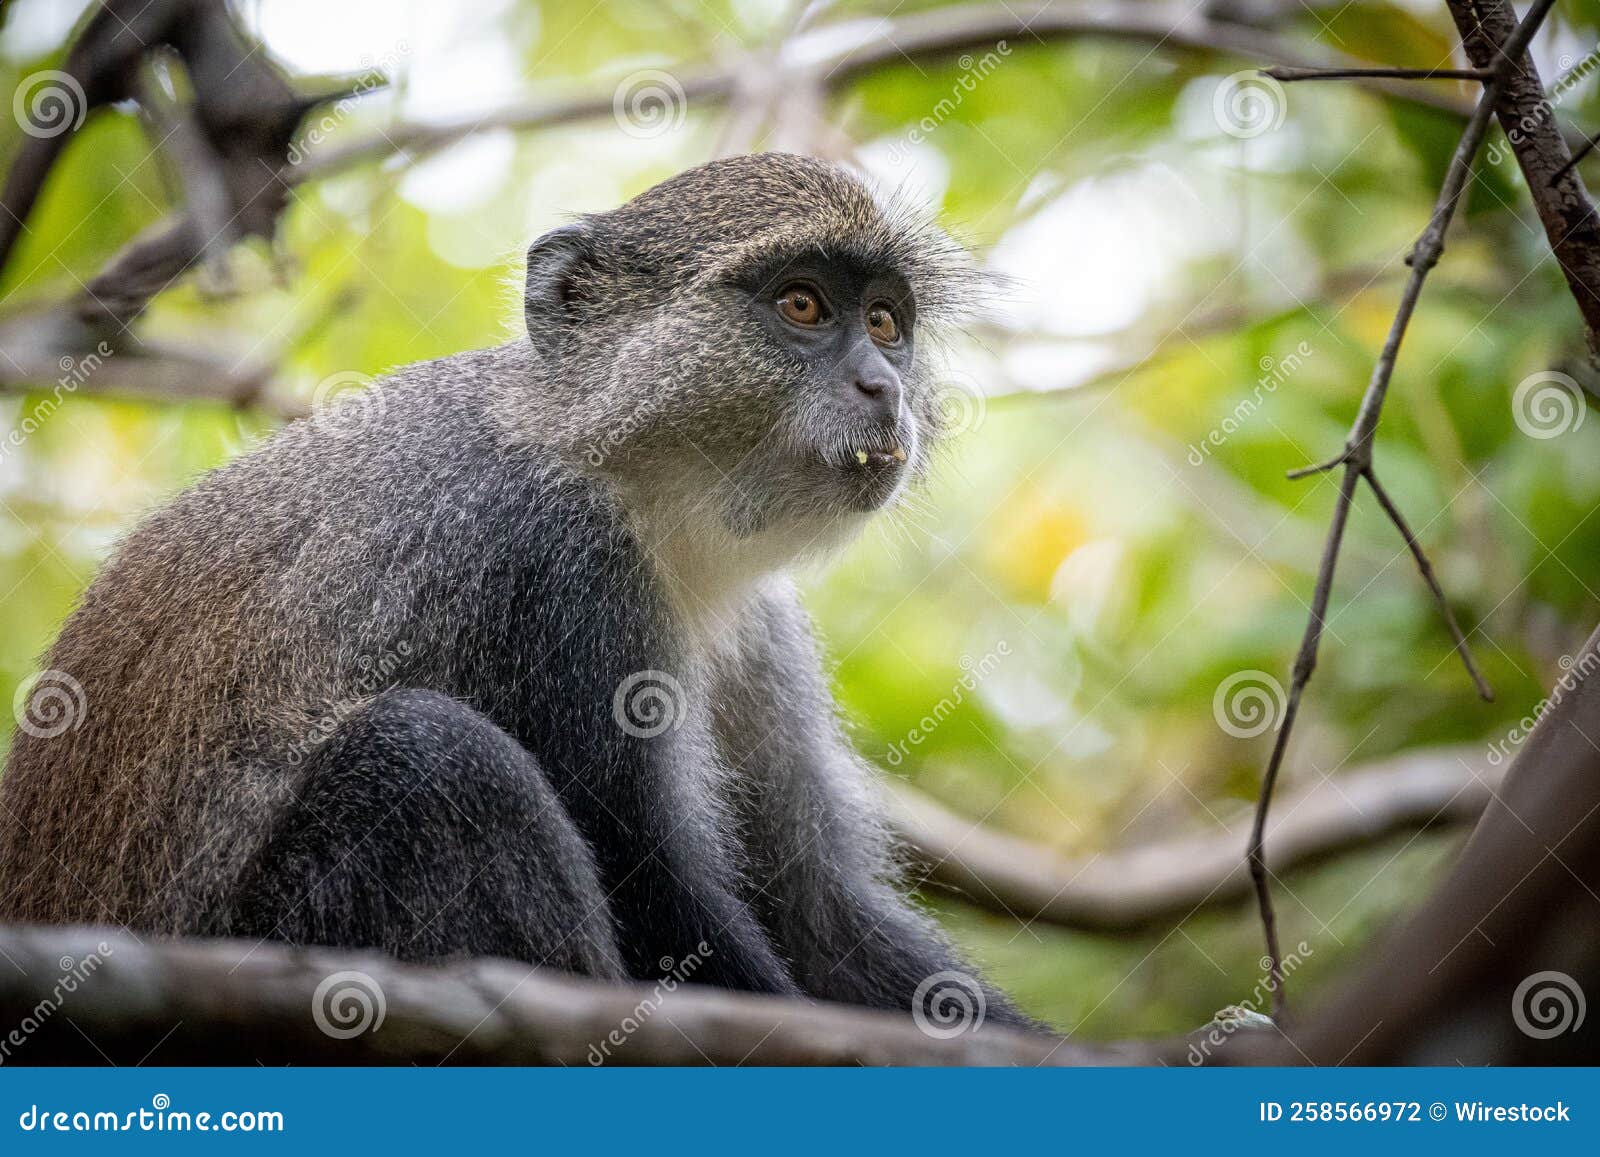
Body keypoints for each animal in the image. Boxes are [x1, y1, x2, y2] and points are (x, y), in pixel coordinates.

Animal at [0, 152, 1035, 1030]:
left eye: (887, 324)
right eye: (804, 305)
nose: (881, 386)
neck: (633, 481)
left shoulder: (760, 627)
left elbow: (821, 910)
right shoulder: (556, 558)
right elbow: (655, 883)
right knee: (434, 759)